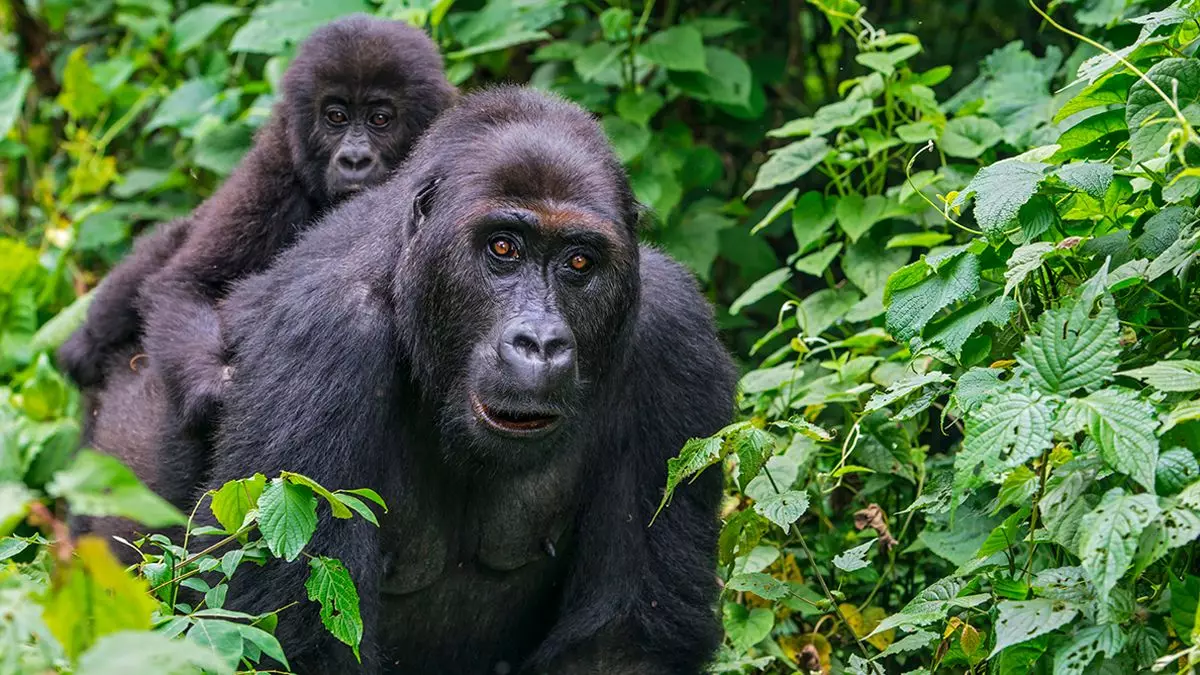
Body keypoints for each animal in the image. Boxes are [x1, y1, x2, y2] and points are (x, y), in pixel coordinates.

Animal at [210, 86, 734, 667]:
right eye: (503, 247)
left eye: (579, 262)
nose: (540, 343)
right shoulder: (324, 334)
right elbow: (301, 636)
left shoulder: (674, 335)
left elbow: (627, 637)